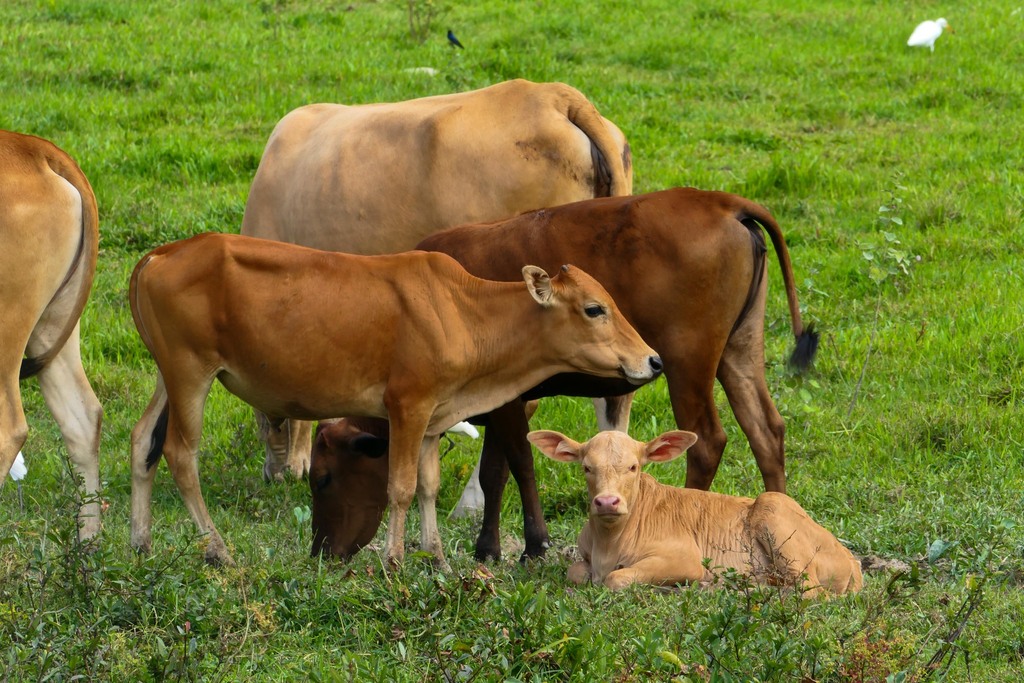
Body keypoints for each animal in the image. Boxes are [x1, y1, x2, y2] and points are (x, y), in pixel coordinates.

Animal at [128, 233, 661, 566]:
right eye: (594, 309)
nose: (653, 360)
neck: (462, 311)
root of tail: (160, 254)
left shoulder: (433, 418)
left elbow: (428, 486)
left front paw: (437, 556)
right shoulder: (408, 405)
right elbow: (400, 487)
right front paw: (395, 558)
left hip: (166, 375)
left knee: (141, 443)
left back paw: (140, 542)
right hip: (190, 373)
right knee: (179, 455)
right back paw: (216, 548)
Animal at [415, 187, 817, 561]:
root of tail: (721, 201)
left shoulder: (508, 400)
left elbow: (519, 465)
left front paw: (532, 546)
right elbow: (494, 472)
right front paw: (488, 549)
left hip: (687, 360)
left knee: (706, 441)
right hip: (741, 349)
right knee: (766, 431)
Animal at [528, 429, 863, 595]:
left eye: (633, 467)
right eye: (587, 467)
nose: (607, 502)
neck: (608, 545)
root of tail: (852, 560)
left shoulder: (684, 558)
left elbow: (616, 578)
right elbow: (575, 572)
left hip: (774, 509)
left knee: (808, 589)